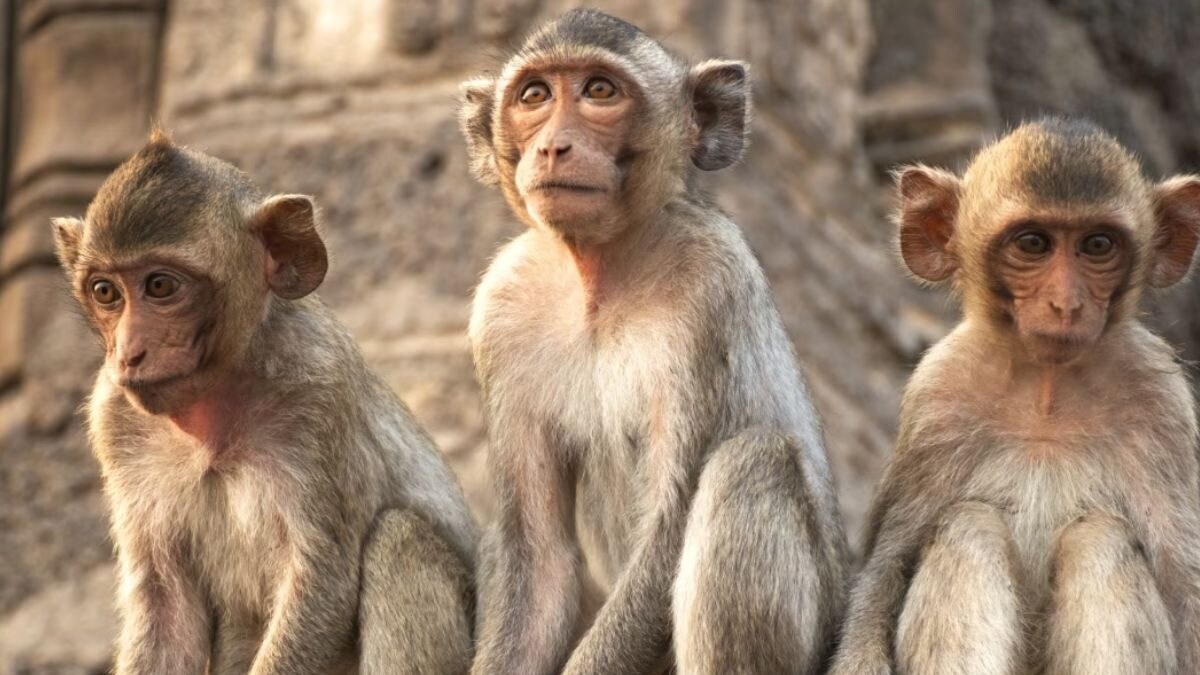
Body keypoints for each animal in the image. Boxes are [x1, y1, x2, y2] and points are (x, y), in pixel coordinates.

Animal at [50, 131, 478, 675]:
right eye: (106, 292)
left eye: (161, 286)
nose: (129, 352)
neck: (217, 400)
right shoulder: (115, 418)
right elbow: (166, 607)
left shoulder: (319, 391)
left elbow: (322, 581)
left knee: (400, 542)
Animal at [457, 9, 848, 675]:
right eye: (534, 97)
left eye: (599, 91)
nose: (553, 145)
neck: (600, 273)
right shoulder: (501, 309)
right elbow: (538, 557)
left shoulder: (711, 283)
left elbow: (669, 528)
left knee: (753, 462)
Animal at [829, 117, 1200, 675]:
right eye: (1032, 243)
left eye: (1097, 245)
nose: (1066, 305)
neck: (1047, 392)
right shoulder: (937, 399)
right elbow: (884, 570)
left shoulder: (1163, 407)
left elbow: (1186, 591)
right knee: (969, 525)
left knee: (1100, 537)